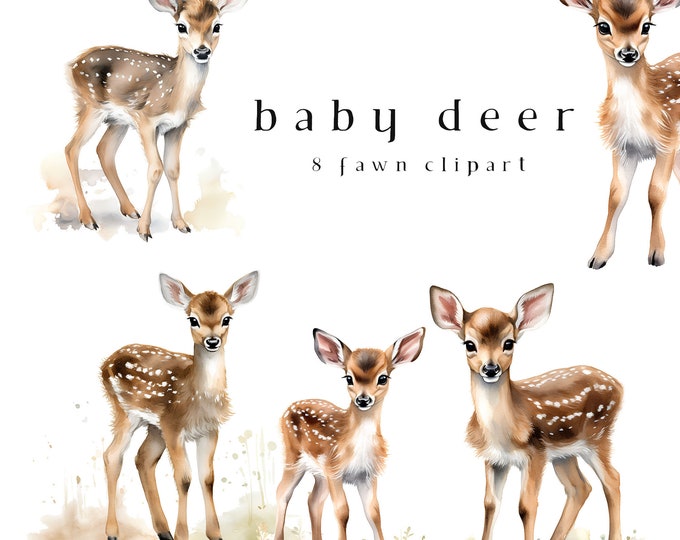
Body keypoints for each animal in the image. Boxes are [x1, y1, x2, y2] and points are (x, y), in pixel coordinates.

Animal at [65, 0, 245, 241]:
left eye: (217, 26)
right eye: (181, 26)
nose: (202, 50)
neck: (175, 95)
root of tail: (73, 64)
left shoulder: (178, 126)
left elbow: (173, 169)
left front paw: (180, 223)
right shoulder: (146, 119)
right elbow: (156, 169)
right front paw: (144, 230)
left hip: (118, 120)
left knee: (104, 150)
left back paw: (130, 210)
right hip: (91, 105)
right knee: (72, 148)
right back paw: (88, 218)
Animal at [100, 270, 258, 540]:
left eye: (226, 318)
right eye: (192, 319)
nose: (212, 341)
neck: (196, 395)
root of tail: (105, 363)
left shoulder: (209, 430)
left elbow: (208, 478)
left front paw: (215, 534)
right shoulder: (174, 427)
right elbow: (183, 478)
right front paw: (183, 534)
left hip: (154, 426)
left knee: (143, 459)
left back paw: (164, 531)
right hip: (125, 411)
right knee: (112, 456)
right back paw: (112, 532)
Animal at [274, 327, 426, 540]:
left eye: (383, 378)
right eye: (348, 378)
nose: (363, 399)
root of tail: (288, 408)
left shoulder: (367, 475)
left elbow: (374, 513)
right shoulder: (335, 469)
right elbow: (342, 511)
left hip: (320, 472)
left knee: (313, 500)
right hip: (293, 456)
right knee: (282, 493)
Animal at [429, 283, 623, 540]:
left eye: (509, 343)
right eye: (469, 344)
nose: (490, 368)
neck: (502, 433)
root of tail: (619, 386)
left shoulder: (535, 453)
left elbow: (526, 506)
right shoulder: (495, 459)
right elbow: (490, 504)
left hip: (598, 435)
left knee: (612, 480)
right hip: (564, 452)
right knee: (580, 487)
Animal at [557, 0, 680, 268]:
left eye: (647, 25)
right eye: (603, 26)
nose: (628, 53)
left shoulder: (668, 140)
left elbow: (655, 193)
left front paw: (657, 253)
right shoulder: (623, 147)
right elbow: (616, 195)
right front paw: (599, 255)